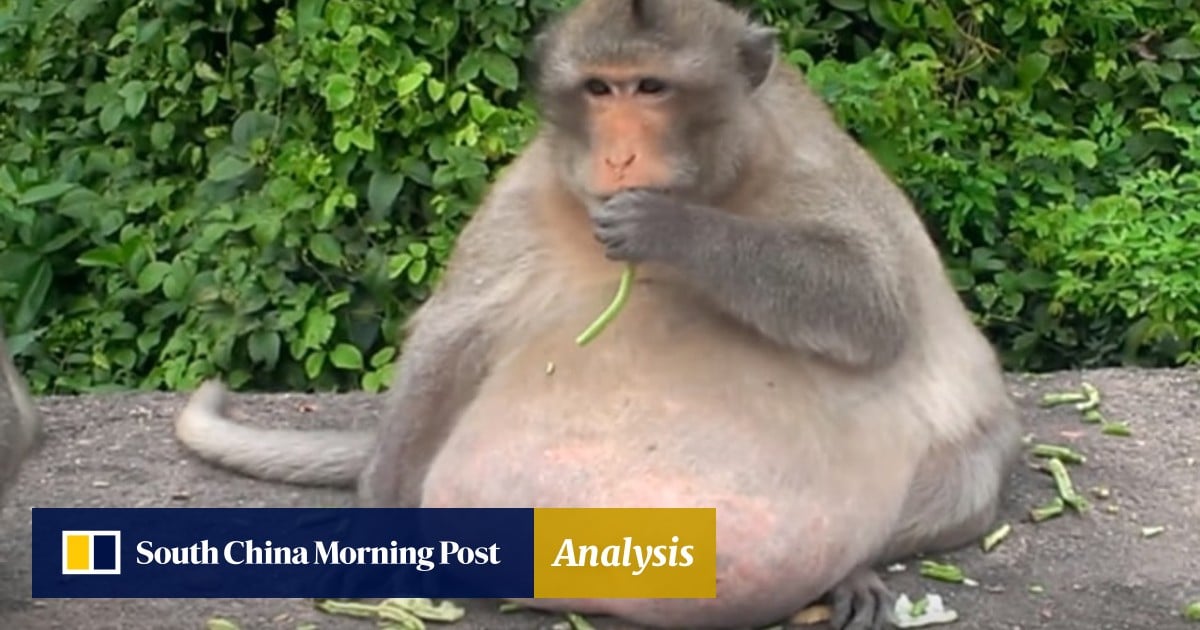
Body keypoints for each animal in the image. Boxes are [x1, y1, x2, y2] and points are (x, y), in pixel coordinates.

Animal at [172, 0, 1024, 628]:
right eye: (598, 89)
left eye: (651, 88)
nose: (618, 156)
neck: (715, 179)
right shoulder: (532, 189)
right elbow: (451, 335)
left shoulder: (806, 159)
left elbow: (872, 302)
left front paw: (671, 230)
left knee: (966, 476)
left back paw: (847, 573)